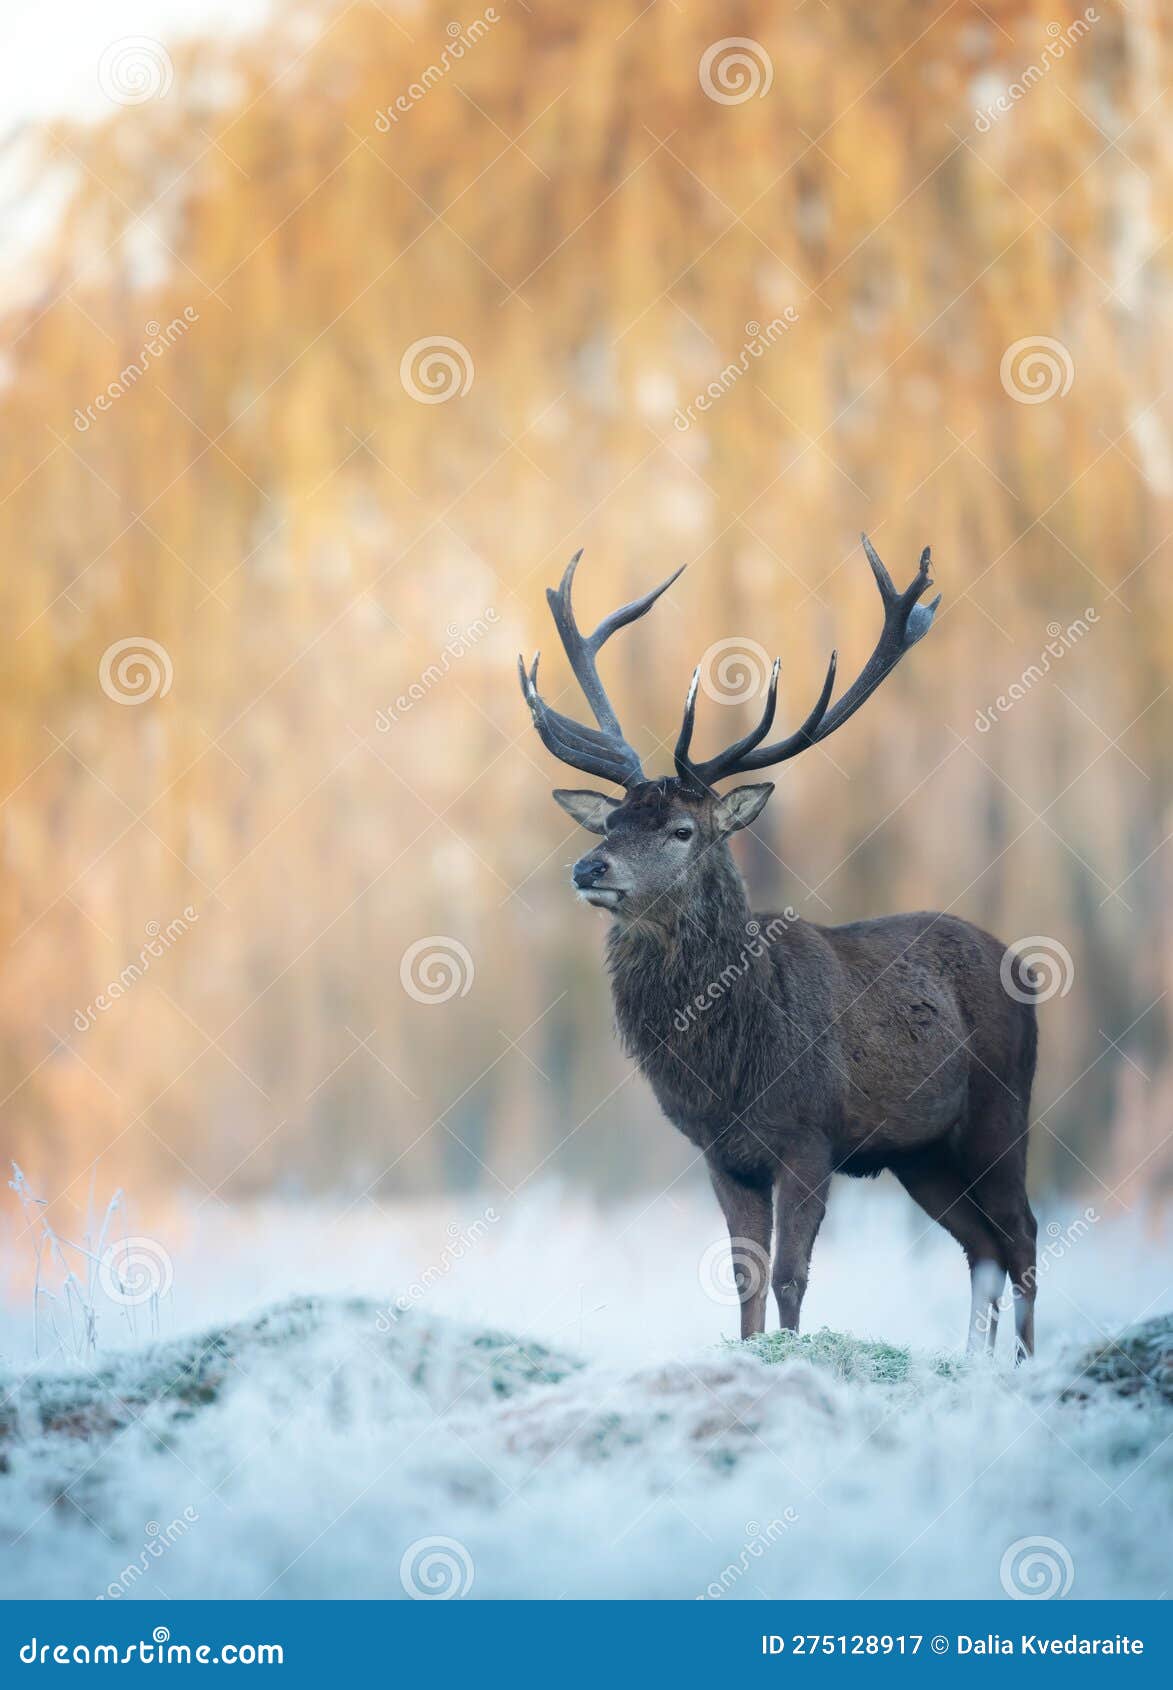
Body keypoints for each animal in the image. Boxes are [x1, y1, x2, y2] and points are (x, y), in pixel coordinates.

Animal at [519, 538, 1040, 1359]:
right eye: (610, 824)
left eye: (682, 830)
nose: (588, 868)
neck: (732, 1063)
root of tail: (1025, 967)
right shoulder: (721, 1152)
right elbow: (745, 1277)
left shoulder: (807, 1137)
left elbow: (793, 1275)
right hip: (919, 1153)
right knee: (980, 1245)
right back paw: (974, 1364)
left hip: (1001, 1107)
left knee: (1021, 1237)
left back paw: (1025, 1366)